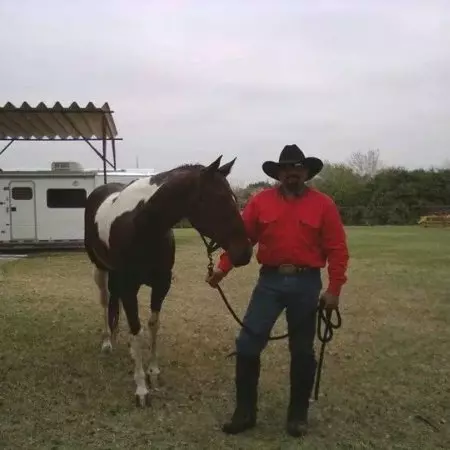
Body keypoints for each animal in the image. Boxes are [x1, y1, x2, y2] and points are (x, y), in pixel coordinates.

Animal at [83, 156, 253, 406]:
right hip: (100, 269)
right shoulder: (129, 286)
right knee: (105, 302)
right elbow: (136, 329)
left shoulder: (161, 285)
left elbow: (153, 325)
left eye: (233, 198)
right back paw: (107, 342)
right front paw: (141, 387)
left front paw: (152, 372)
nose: (245, 253)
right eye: (218, 199)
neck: (143, 226)